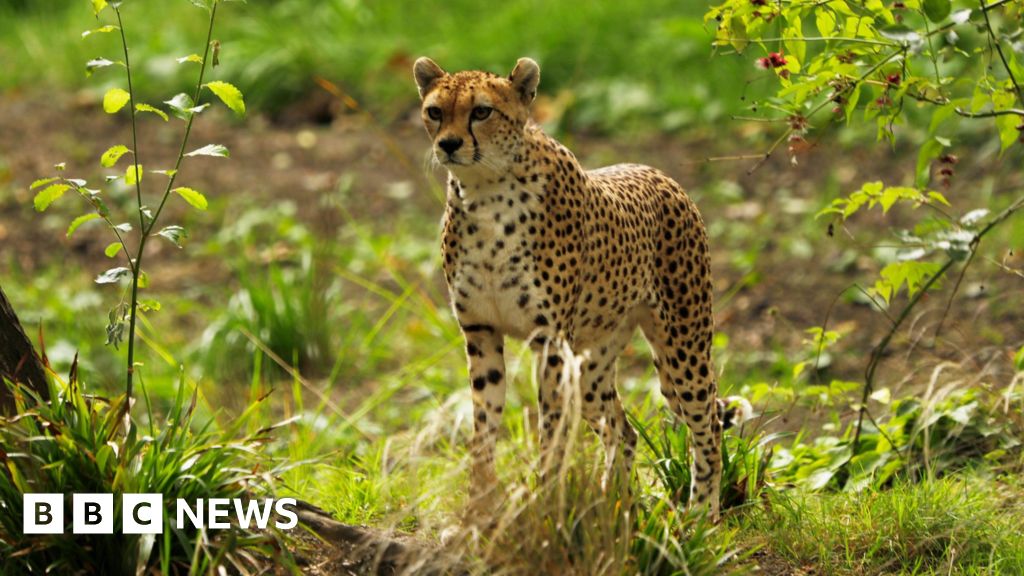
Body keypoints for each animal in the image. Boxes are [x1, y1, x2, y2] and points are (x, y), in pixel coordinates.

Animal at [414, 56, 734, 521]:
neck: (486, 190)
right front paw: (478, 509)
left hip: (683, 348)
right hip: (591, 367)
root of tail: (658, 173)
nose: (450, 144)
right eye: (435, 111)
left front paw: (544, 504)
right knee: (623, 430)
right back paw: (616, 507)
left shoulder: (549, 343)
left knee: (707, 425)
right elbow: (484, 428)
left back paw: (700, 517)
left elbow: (551, 433)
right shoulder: (481, 334)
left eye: (482, 112)